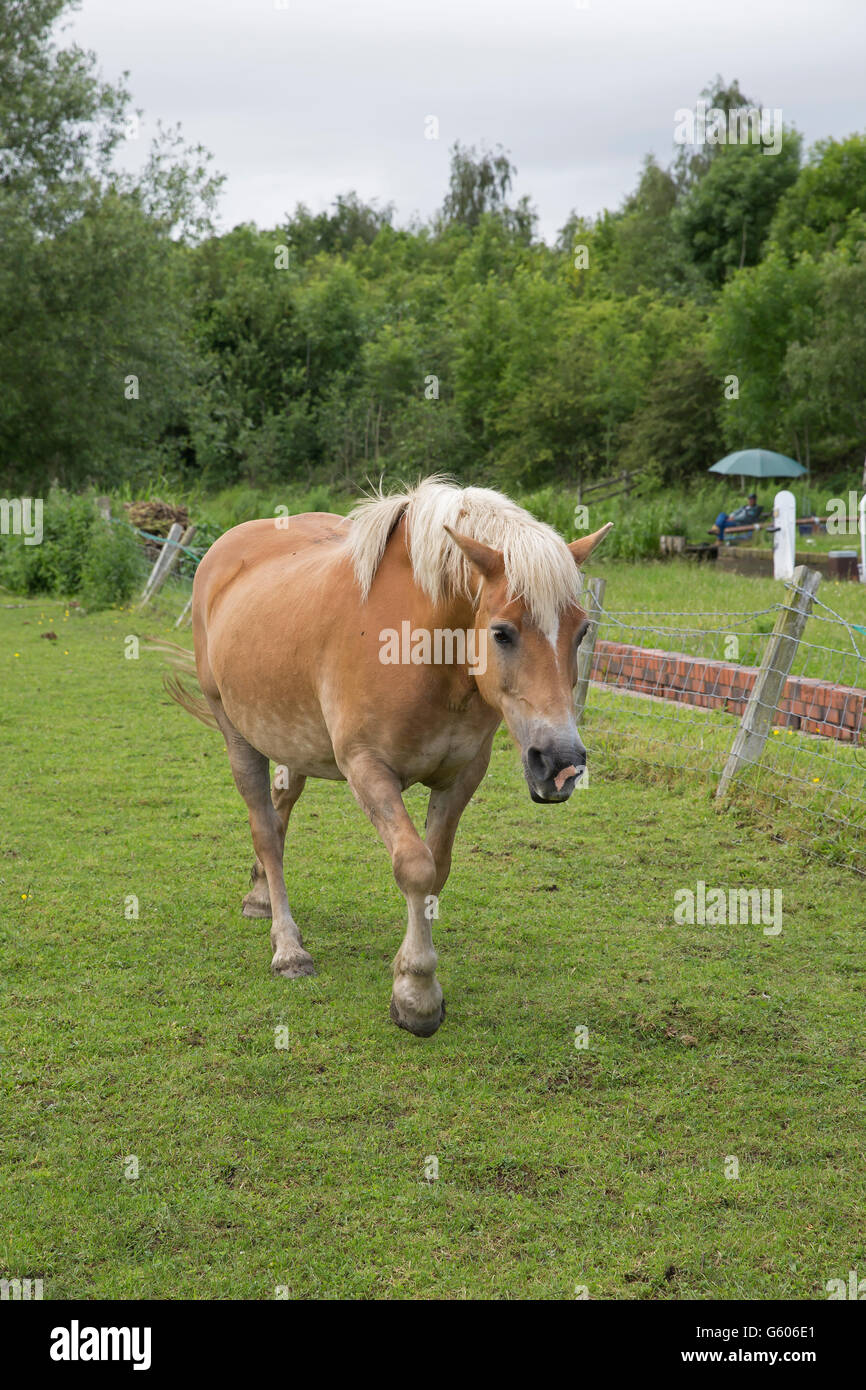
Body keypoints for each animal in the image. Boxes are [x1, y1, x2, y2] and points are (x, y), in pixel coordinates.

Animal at [162, 478, 611, 1037]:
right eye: (502, 632)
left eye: (582, 631)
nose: (561, 764)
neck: (427, 654)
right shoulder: (367, 769)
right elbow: (414, 866)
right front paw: (416, 994)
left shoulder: (462, 776)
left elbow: (437, 869)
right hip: (237, 734)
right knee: (264, 829)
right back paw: (288, 948)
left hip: (289, 738)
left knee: (279, 812)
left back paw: (261, 896)